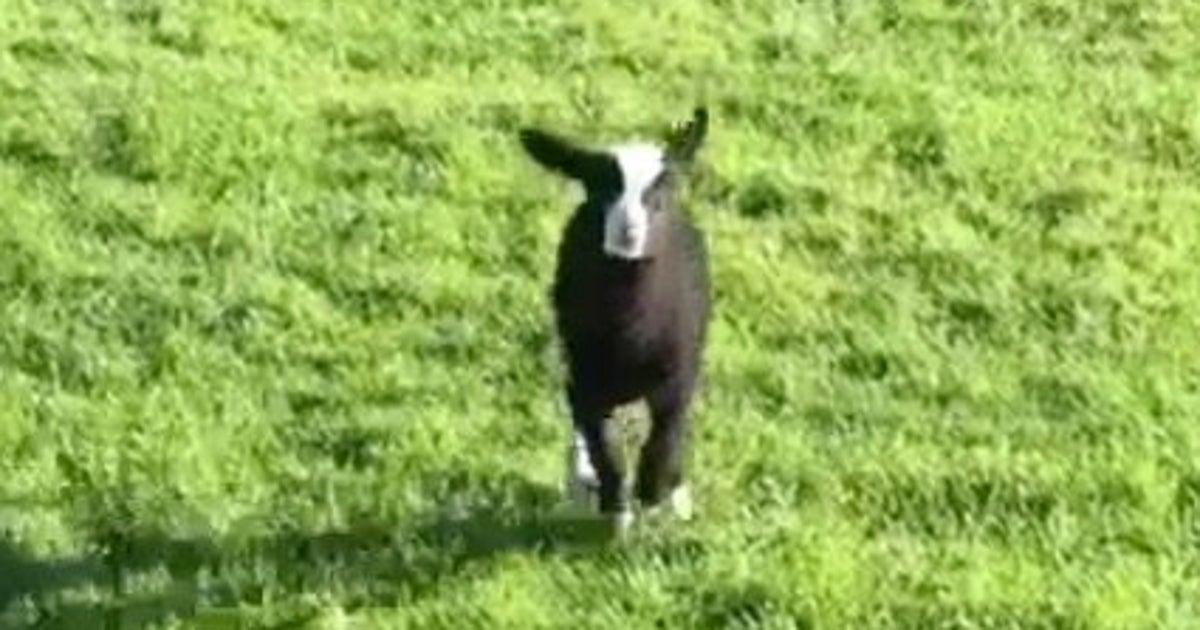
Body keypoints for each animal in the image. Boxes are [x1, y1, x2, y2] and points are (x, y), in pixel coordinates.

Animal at [518, 107, 712, 533]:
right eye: (598, 189)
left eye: (663, 192)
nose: (627, 233)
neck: (631, 336)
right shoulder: (584, 383)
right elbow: (602, 445)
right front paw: (617, 505)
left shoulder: (677, 379)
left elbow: (664, 439)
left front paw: (652, 494)